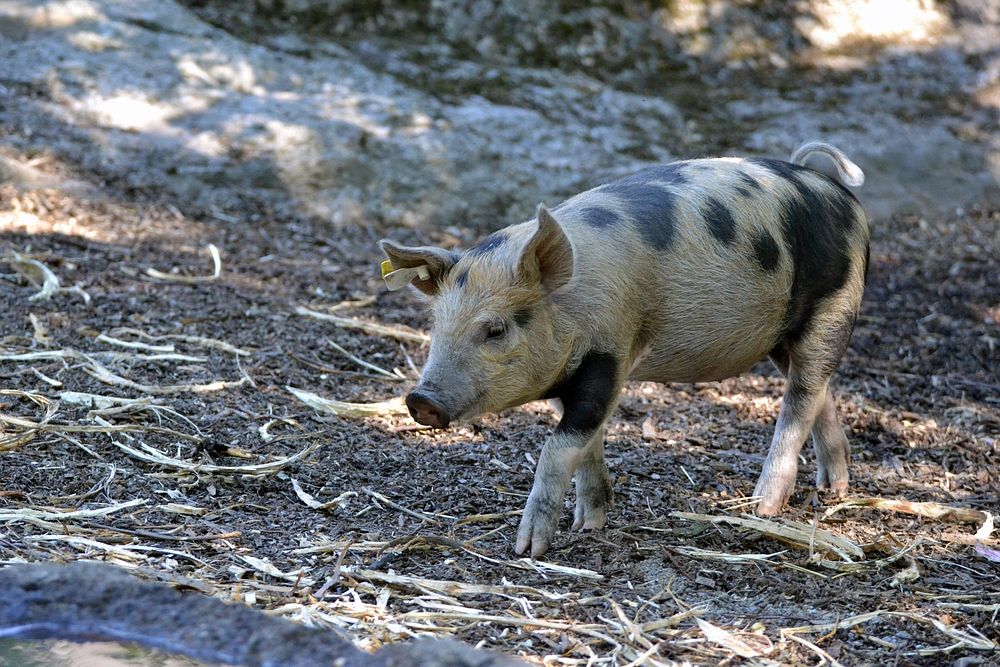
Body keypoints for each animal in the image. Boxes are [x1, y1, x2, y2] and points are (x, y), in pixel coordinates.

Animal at [379, 141, 869, 558]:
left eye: (495, 330)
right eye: (437, 323)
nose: (420, 400)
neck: (571, 305)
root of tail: (830, 187)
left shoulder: (610, 354)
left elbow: (559, 446)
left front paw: (527, 549)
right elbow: (587, 443)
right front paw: (588, 524)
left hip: (834, 306)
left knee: (800, 400)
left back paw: (762, 507)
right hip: (783, 337)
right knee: (820, 392)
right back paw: (833, 488)